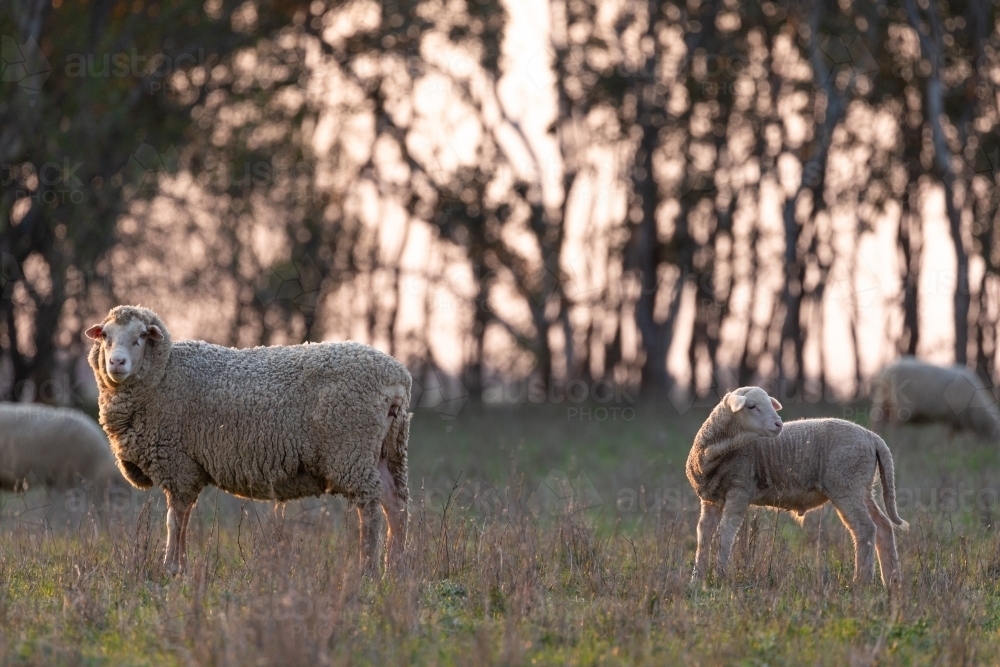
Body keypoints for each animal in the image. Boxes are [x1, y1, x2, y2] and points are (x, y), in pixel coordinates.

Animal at [85, 305, 411, 576]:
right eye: (106, 336)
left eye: (141, 335)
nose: (116, 362)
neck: (163, 374)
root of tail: (397, 376)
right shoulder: (188, 469)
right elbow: (184, 518)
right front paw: (180, 568)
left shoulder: (177, 464)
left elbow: (174, 520)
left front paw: (170, 569)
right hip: (387, 451)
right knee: (396, 506)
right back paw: (395, 570)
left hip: (351, 451)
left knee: (371, 510)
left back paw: (367, 571)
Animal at [686, 386, 909, 588]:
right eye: (752, 406)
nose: (778, 424)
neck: (715, 451)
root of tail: (873, 438)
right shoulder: (710, 499)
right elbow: (703, 535)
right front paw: (697, 580)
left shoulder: (739, 490)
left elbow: (725, 533)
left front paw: (719, 577)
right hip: (862, 487)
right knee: (883, 526)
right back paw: (892, 581)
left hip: (846, 484)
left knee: (865, 528)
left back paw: (861, 582)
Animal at [869, 356, 1000, 439]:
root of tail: (886, 373)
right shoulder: (954, 416)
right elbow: (948, 436)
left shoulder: (951, 418)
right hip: (901, 407)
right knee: (893, 427)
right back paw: (896, 441)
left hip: (882, 401)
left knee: (878, 422)